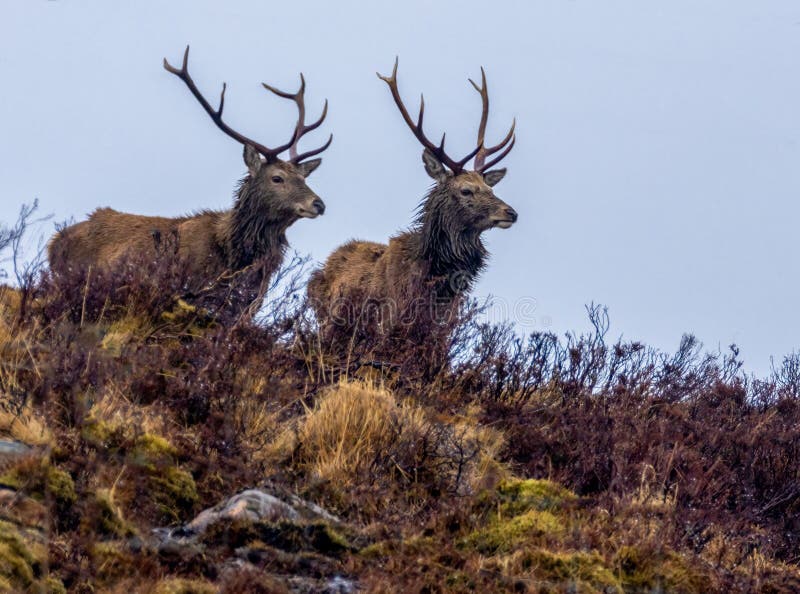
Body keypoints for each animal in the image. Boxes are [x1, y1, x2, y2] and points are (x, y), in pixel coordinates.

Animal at [48, 47, 331, 319]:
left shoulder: (248, 309)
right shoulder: (191, 294)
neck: (232, 259)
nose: (318, 204)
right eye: (277, 178)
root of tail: (54, 243)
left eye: (304, 177)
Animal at [307, 59, 517, 369]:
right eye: (467, 190)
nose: (511, 212)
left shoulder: (443, 333)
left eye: (489, 188)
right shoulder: (386, 325)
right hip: (328, 322)